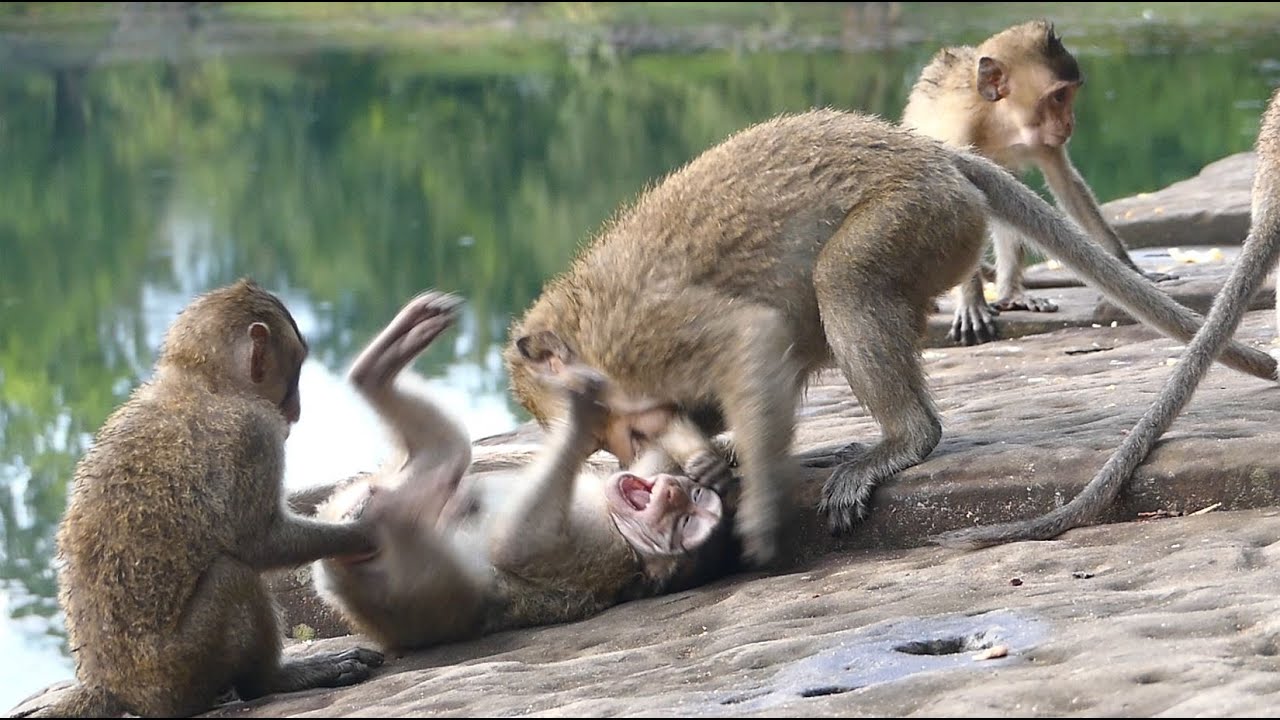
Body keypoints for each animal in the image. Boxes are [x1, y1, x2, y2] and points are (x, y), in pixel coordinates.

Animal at [15, 279, 384, 719]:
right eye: (294, 368)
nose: (296, 409)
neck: (203, 382)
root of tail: (112, 687)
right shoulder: (255, 432)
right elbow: (257, 542)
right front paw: (362, 531)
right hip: (179, 673)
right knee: (233, 575)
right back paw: (273, 680)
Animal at [307, 291, 738, 654]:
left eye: (684, 523)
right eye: (691, 500)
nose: (673, 494)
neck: (616, 520)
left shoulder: (607, 551)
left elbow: (515, 545)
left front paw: (581, 413)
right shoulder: (646, 473)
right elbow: (653, 443)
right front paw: (703, 460)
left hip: (401, 570)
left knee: (436, 477)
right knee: (451, 458)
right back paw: (380, 365)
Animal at [902, 20, 1174, 346]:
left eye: (1070, 93)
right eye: (1058, 97)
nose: (1070, 122)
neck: (999, 121)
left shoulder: (1044, 140)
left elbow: (1067, 186)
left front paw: (1131, 269)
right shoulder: (958, 135)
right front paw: (971, 302)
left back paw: (1012, 294)